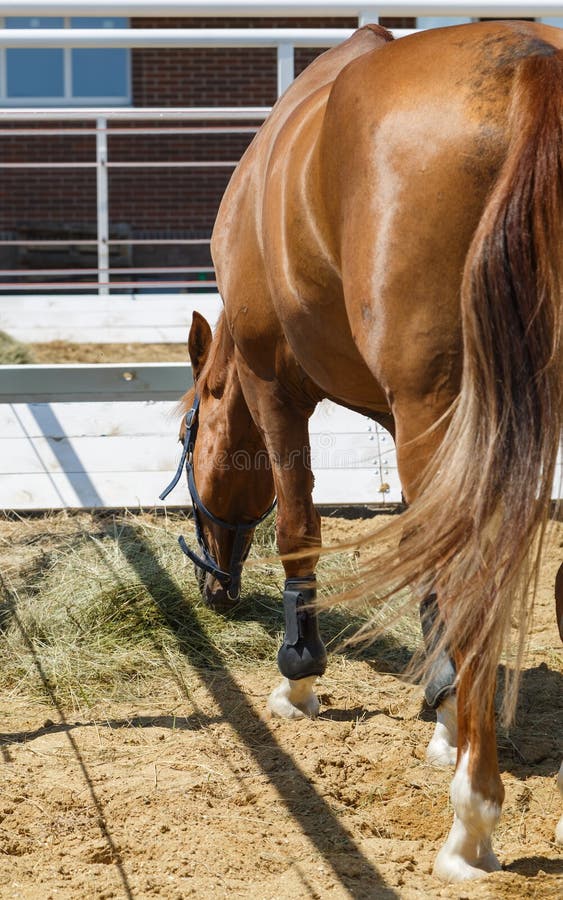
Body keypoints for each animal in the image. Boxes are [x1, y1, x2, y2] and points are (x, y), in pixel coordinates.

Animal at [163, 20, 563, 881]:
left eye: (187, 435)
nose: (213, 587)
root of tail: (530, 66)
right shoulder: (404, 418)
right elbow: (425, 563)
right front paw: (440, 709)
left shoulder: (274, 386)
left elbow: (299, 528)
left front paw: (298, 677)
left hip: (438, 402)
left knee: (477, 589)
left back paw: (471, 820)